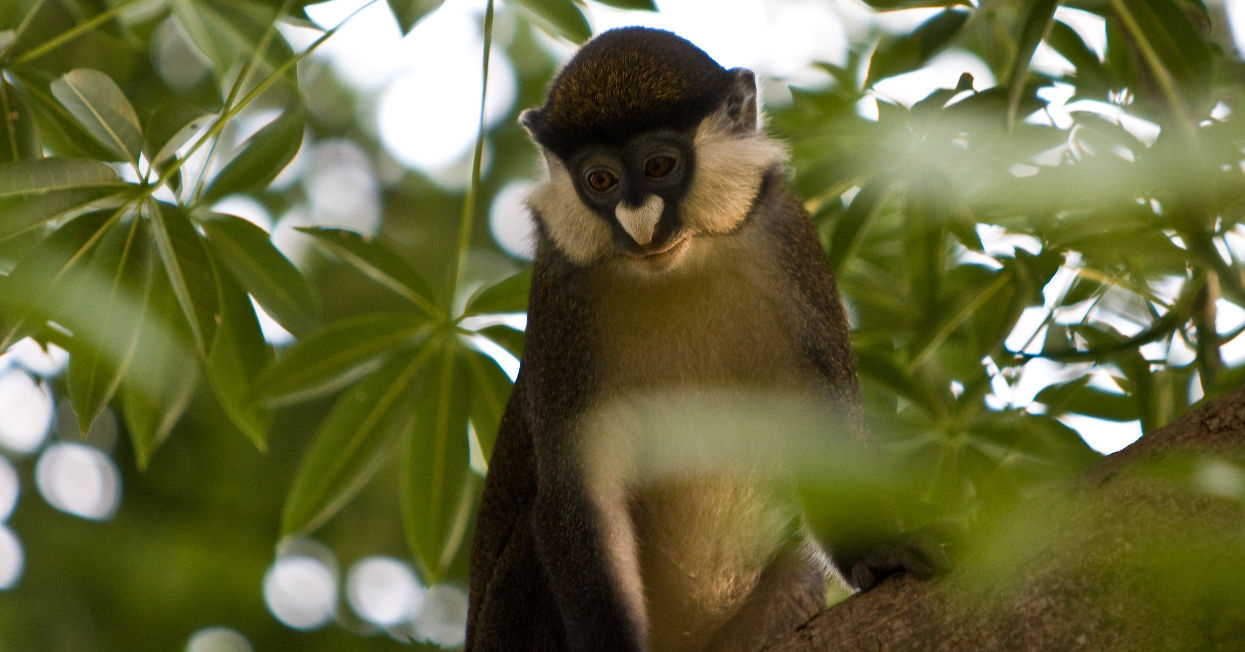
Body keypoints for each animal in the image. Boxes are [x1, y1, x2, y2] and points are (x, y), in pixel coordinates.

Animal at [466, 27, 941, 652]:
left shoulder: (786, 235)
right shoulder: (559, 286)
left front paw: (878, 554)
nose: (640, 222)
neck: (679, 267)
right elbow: (576, 486)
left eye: (659, 165)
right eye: (601, 180)